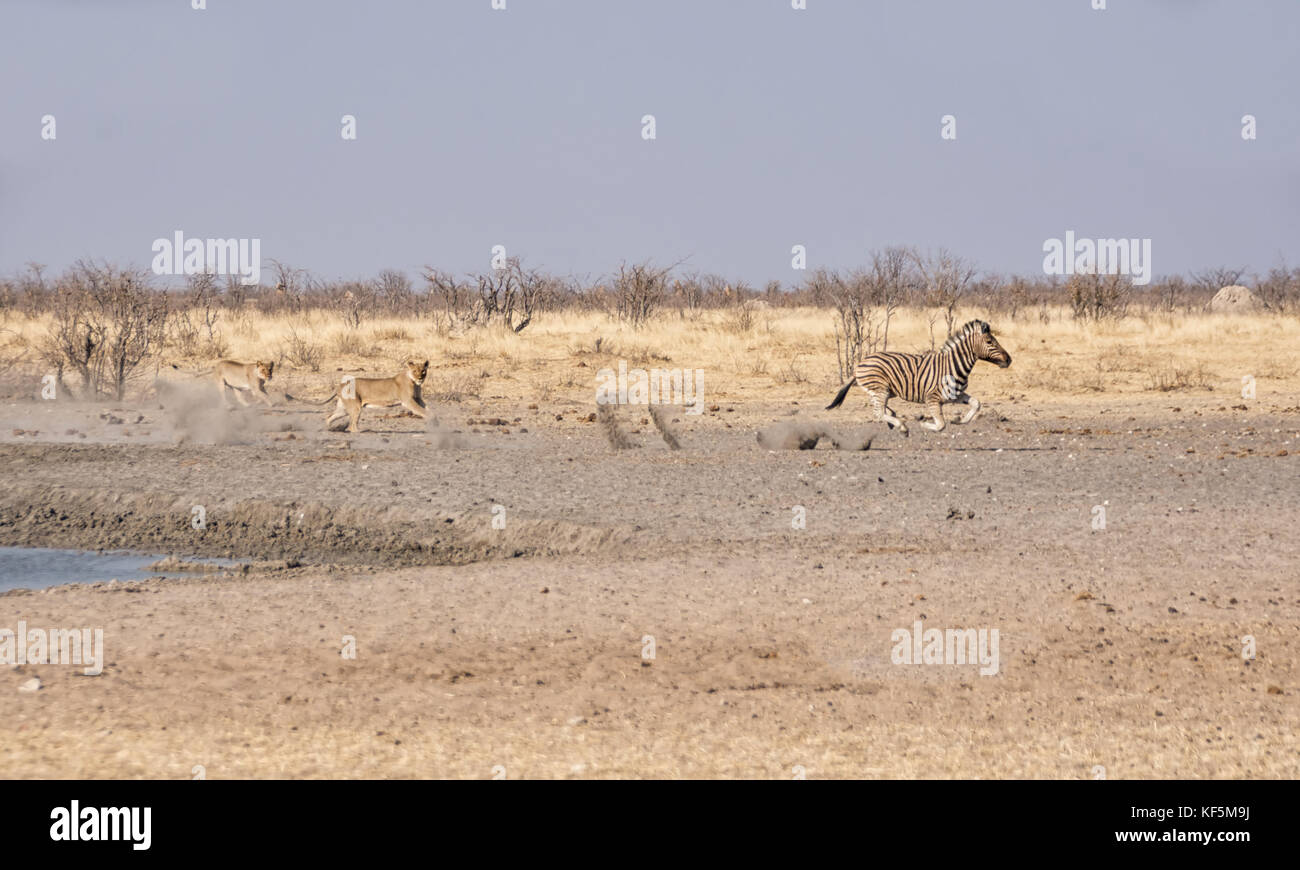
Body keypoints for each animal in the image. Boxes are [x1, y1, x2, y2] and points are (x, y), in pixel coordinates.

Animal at [825, 319, 1011, 436]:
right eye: (989, 342)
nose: (1009, 360)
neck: (954, 365)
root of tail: (859, 365)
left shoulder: (955, 395)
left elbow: (976, 404)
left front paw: (959, 420)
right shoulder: (932, 398)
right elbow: (941, 424)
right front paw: (924, 424)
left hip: (883, 391)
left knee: (882, 410)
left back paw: (894, 421)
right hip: (881, 389)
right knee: (878, 413)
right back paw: (902, 427)